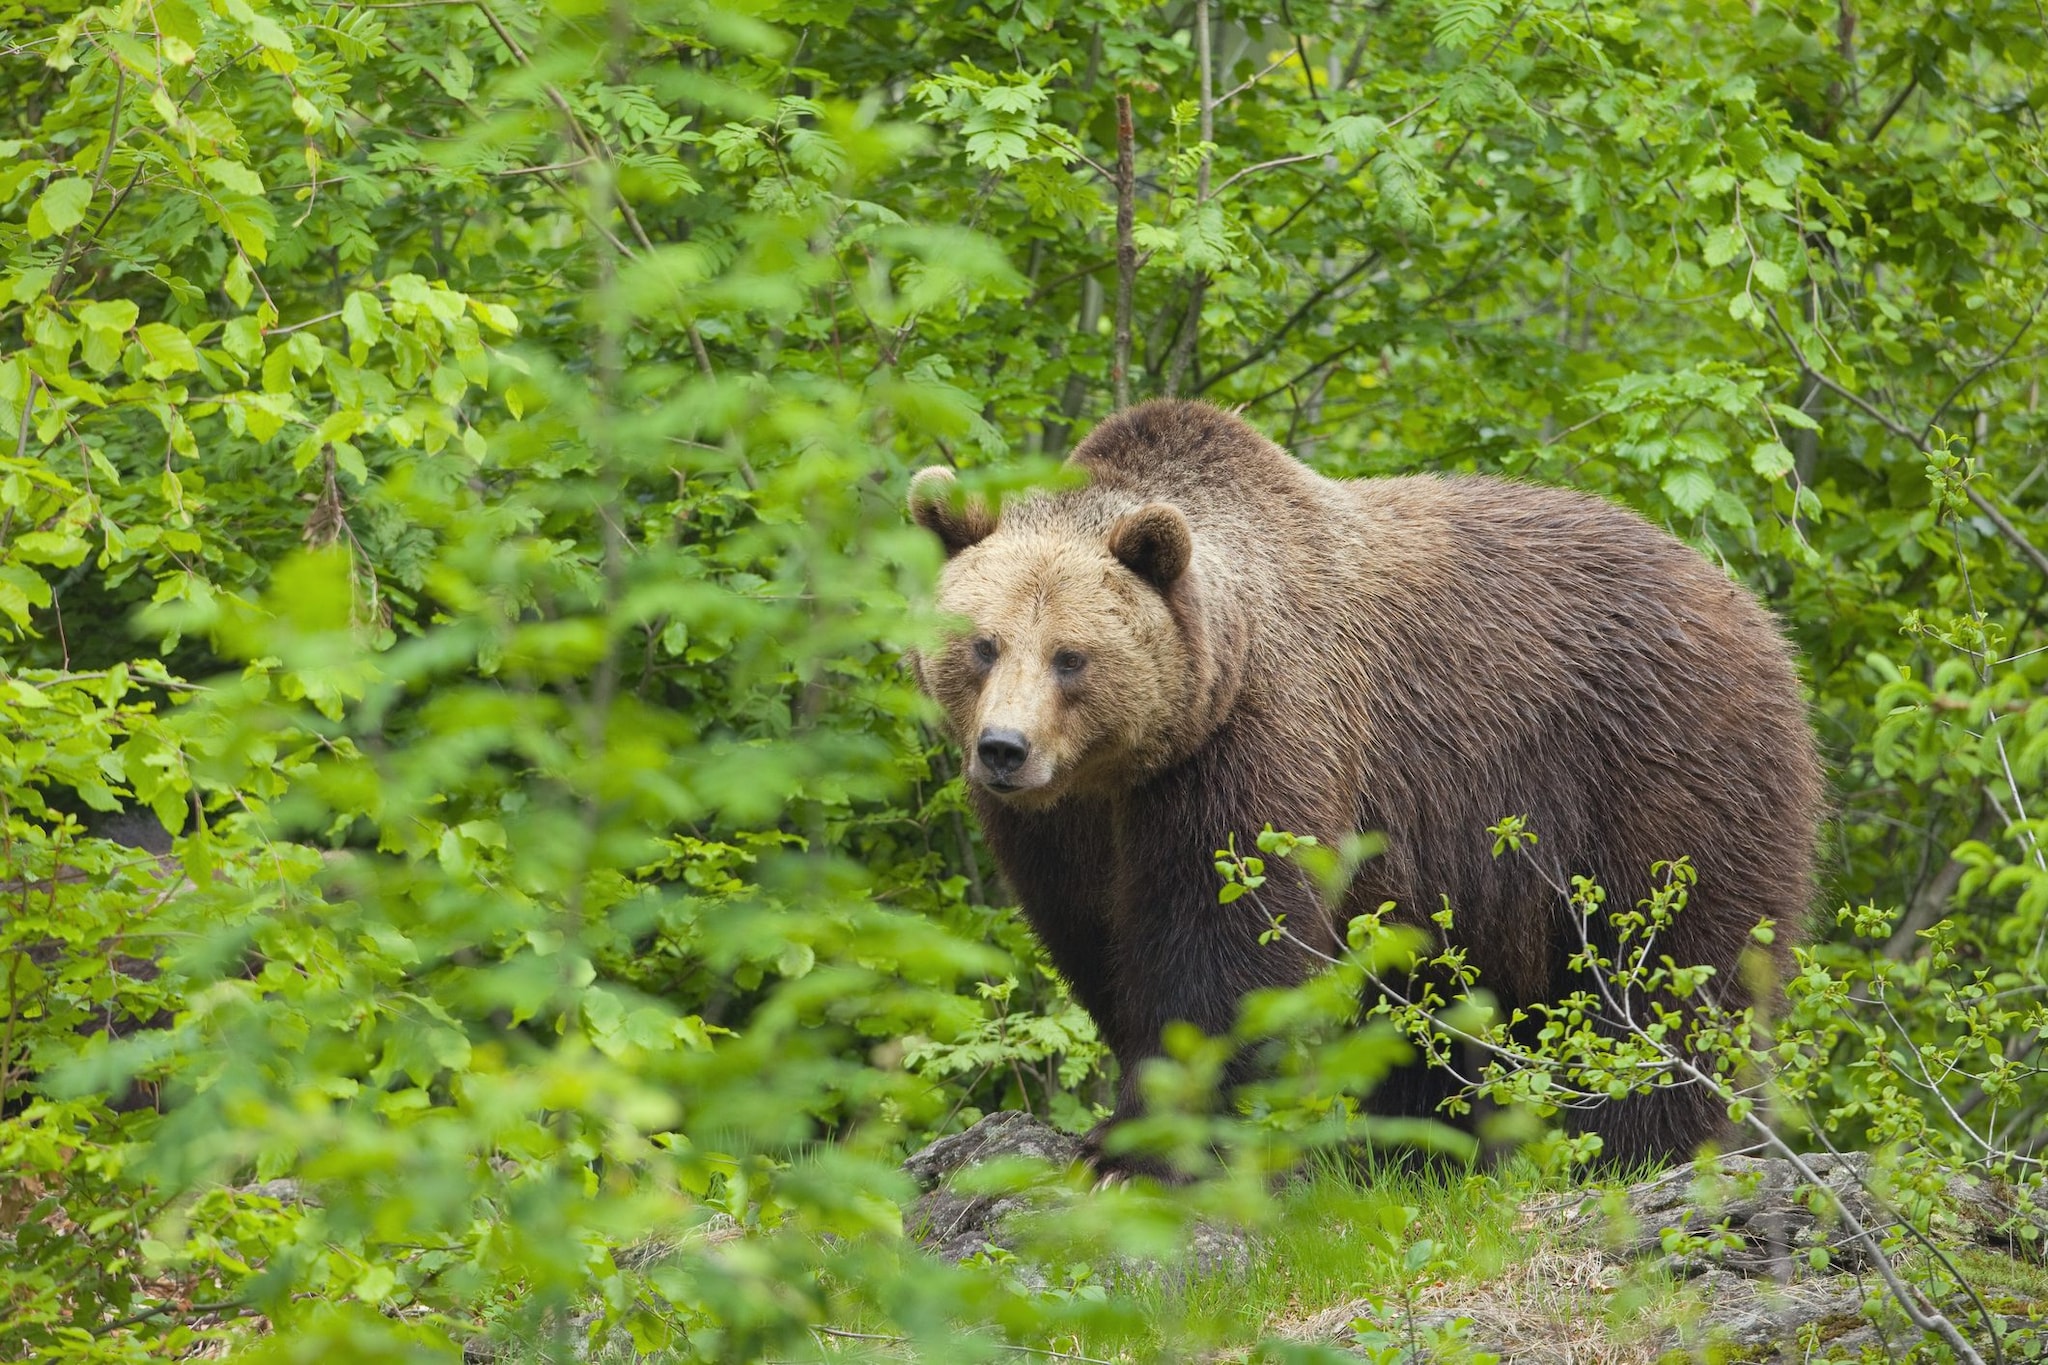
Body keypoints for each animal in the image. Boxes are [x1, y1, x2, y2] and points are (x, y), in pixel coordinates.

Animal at [908, 398, 1824, 1175]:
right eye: (983, 644)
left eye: (1072, 655)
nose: (1004, 748)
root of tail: (1757, 613)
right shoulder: (1065, 825)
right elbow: (1094, 933)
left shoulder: (1261, 740)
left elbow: (1229, 931)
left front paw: (1137, 1146)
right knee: (1443, 997)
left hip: (1663, 766)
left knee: (1674, 961)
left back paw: (1629, 1142)